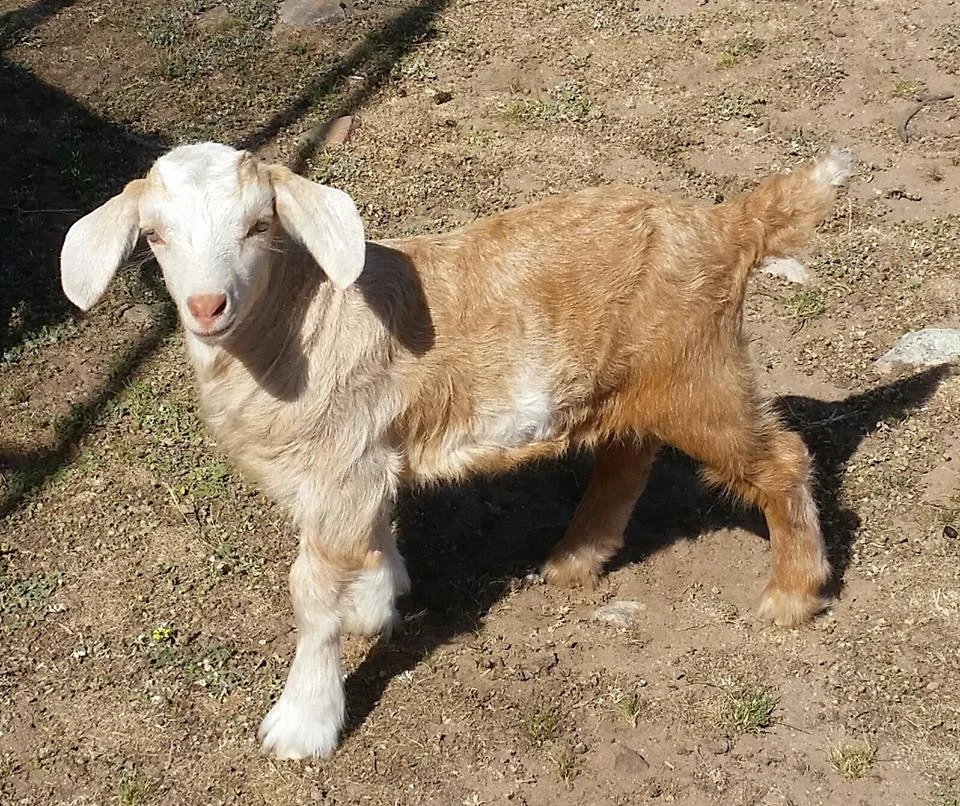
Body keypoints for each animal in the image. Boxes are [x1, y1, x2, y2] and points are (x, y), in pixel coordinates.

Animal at [60, 142, 852, 759]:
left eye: (259, 225)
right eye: (155, 235)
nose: (207, 306)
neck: (296, 327)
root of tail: (726, 226)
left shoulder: (340, 463)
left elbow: (312, 592)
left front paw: (302, 725)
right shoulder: (366, 453)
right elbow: (373, 535)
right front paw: (378, 603)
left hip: (700, 373)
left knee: (782, 458)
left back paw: (792, 594)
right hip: (638, 380)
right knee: (628, 457)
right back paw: (575, 560)